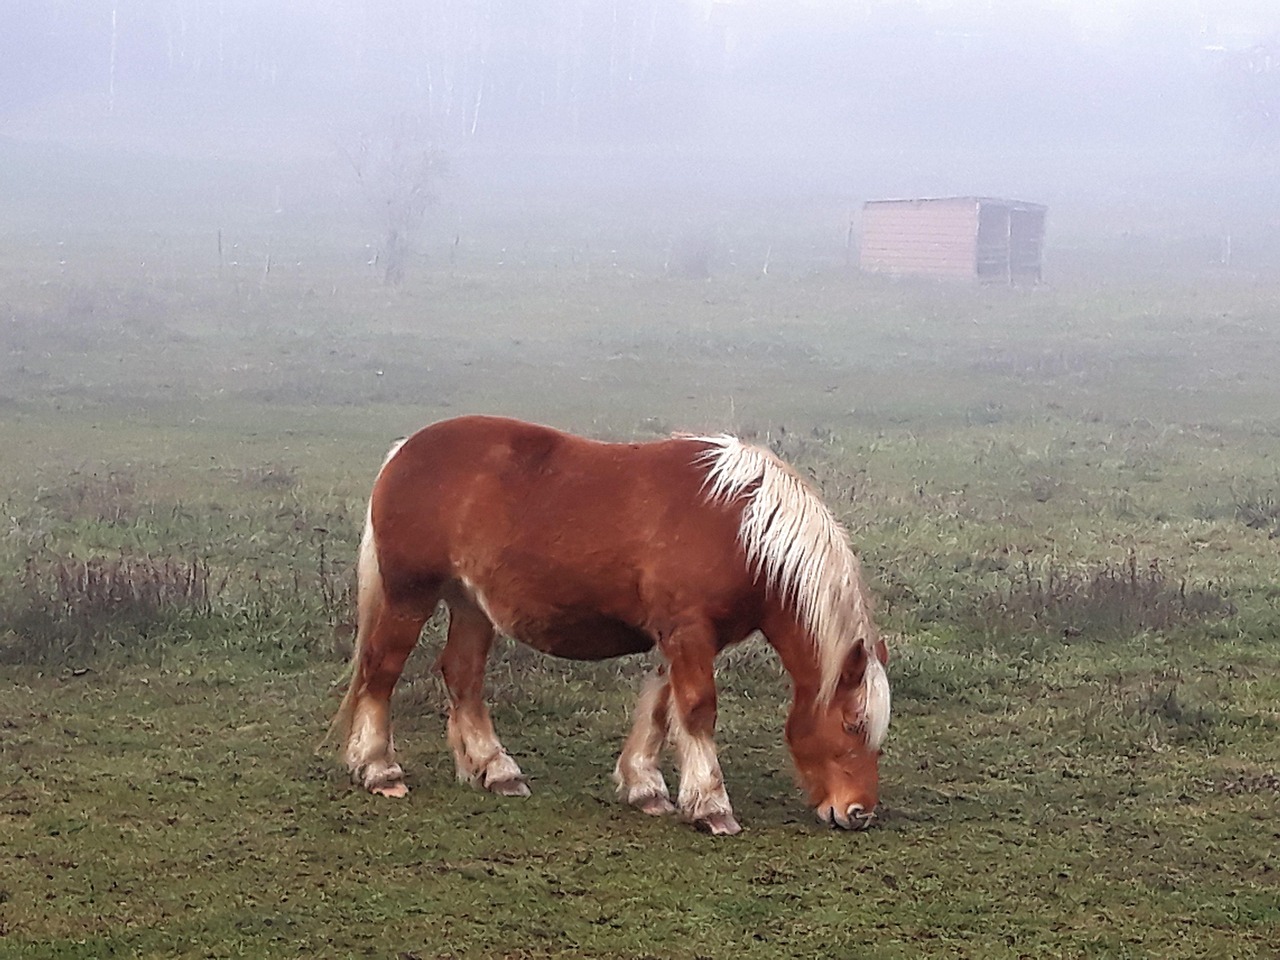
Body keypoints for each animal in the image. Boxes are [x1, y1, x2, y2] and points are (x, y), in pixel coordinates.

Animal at [330, 415, 890, 835]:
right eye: (851, 724)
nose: (859, 813)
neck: (741, 529)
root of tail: (404, 451)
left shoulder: (680, 638)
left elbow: (662, 710)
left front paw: (645, 787)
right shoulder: (689, 633)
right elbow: (697, 711)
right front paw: (711, 805)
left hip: (471, 605)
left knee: (462, 676)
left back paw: (496, 770)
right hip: (410, 597)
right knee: (382, 670)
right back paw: (379, 769)